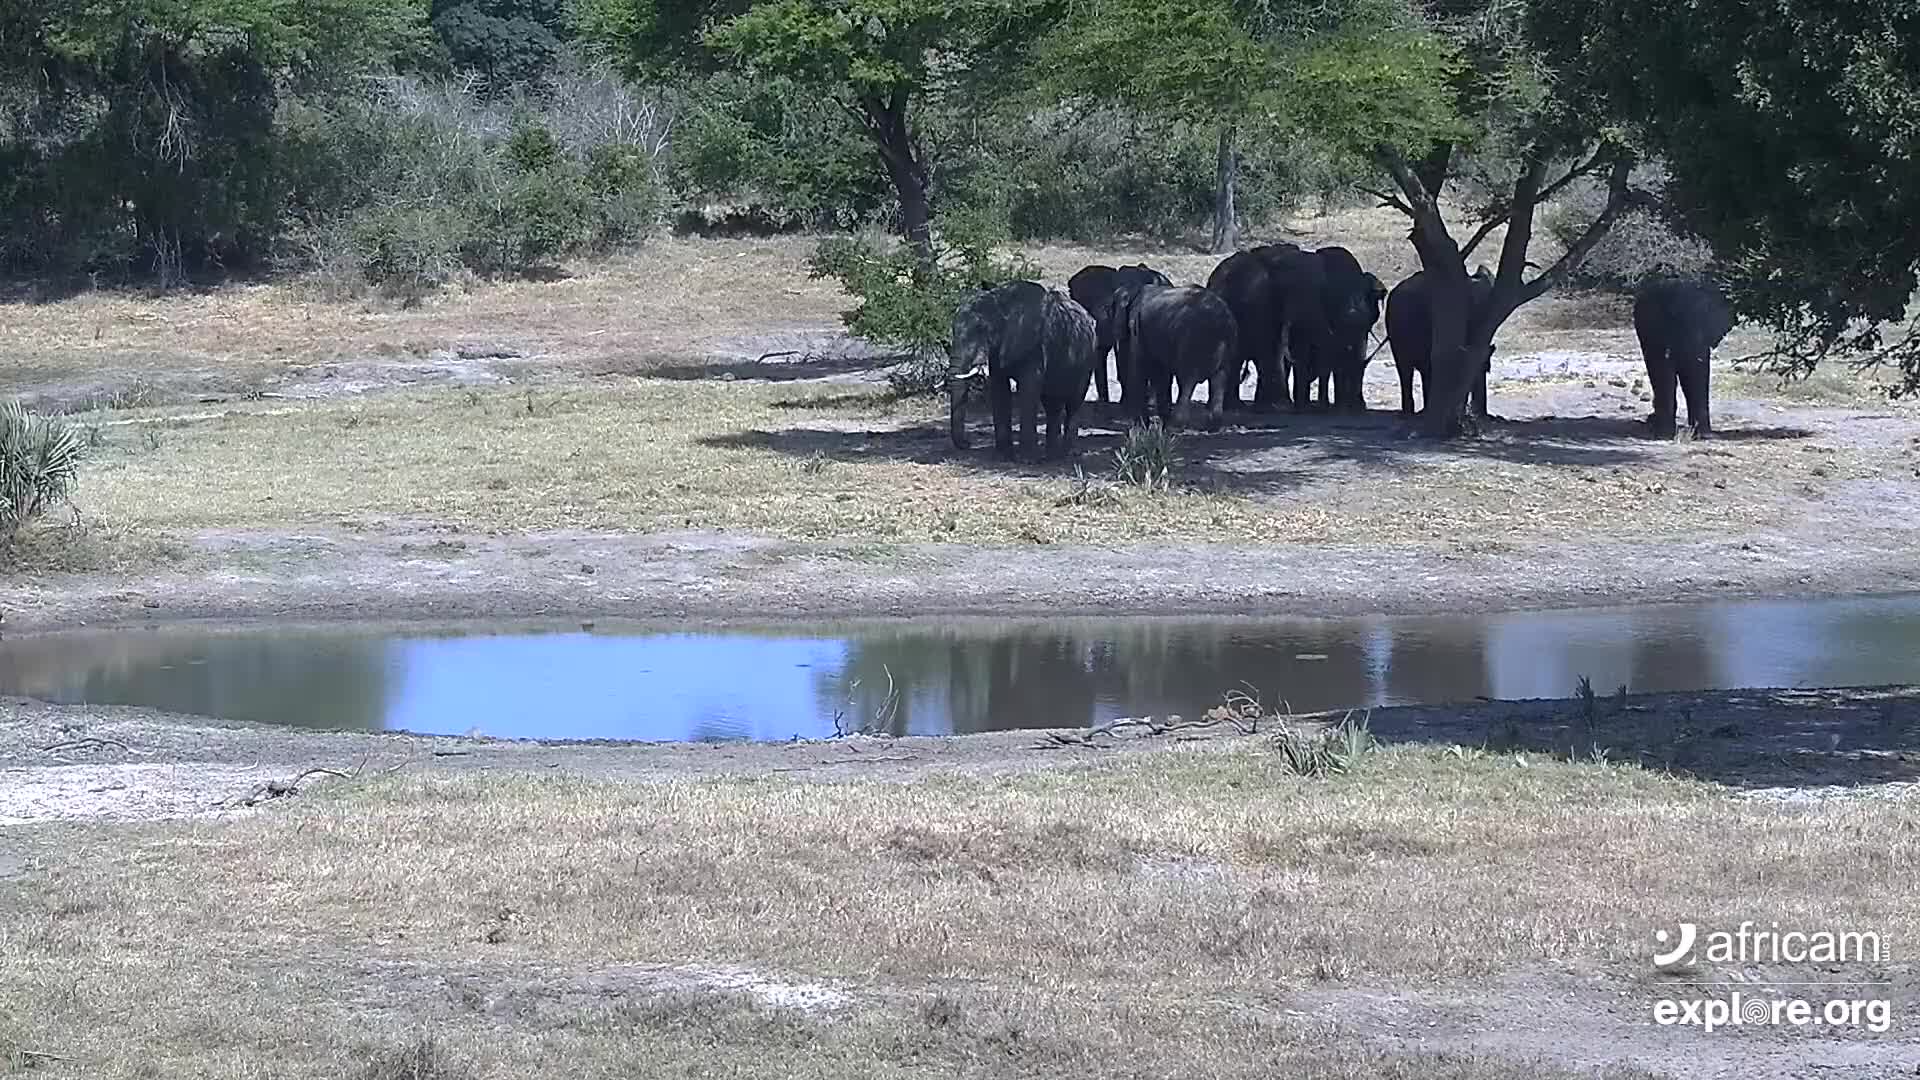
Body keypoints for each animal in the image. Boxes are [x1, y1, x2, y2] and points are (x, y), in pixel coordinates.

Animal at [949, 281, 1099, 458]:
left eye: (982, 330)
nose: (968, 444)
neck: (1002, 302)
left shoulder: (1034, 345)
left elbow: (1028, 389)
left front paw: (1025, 459)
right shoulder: (1000, 348)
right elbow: (1000, 389)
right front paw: (1003, 455)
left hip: (1088, 356)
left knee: (1074, 401)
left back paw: (1067, 453)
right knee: (1052, 404)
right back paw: (1051, 455)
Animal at [1110, 282, 1238, 431]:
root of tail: (1221, 322)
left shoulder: (1136, 324)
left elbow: (1140, 369)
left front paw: (1141, 427)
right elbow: (1161, 374)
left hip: (1191, 340)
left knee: (1188, 380)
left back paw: (1174, 426)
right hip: (1228, 344)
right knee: (1219, 378)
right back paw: (1213, 427)